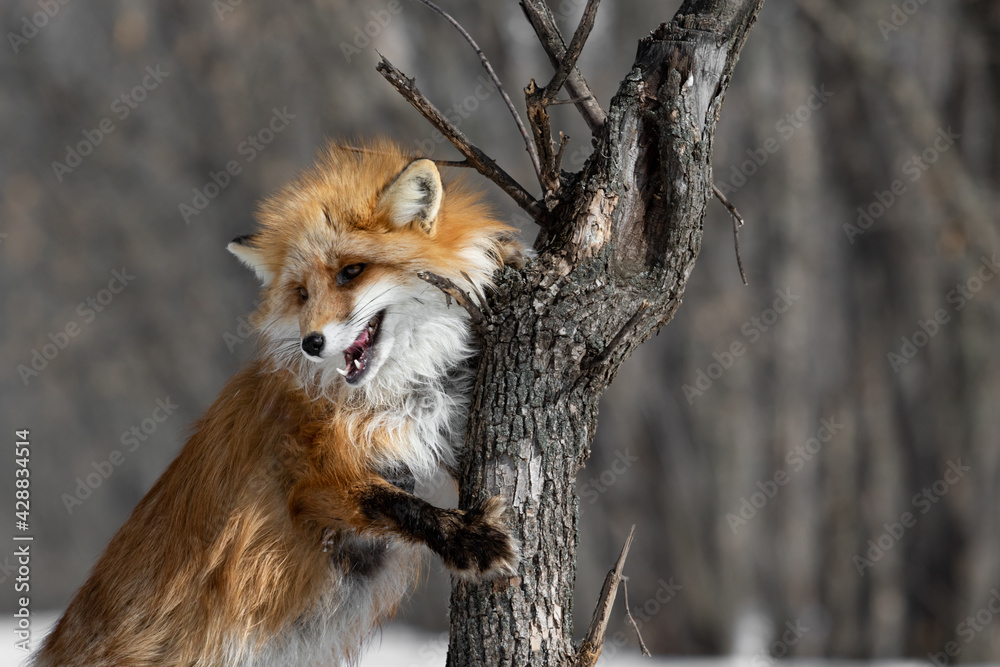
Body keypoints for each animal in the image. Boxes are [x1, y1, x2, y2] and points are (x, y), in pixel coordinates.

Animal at [36, 140, 523, 666]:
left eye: (351, 272)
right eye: (302, 294)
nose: (311, 343)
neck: (400, 392)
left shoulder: (446, 428)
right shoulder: (313, 478)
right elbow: (395, 504)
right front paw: (469, 541)